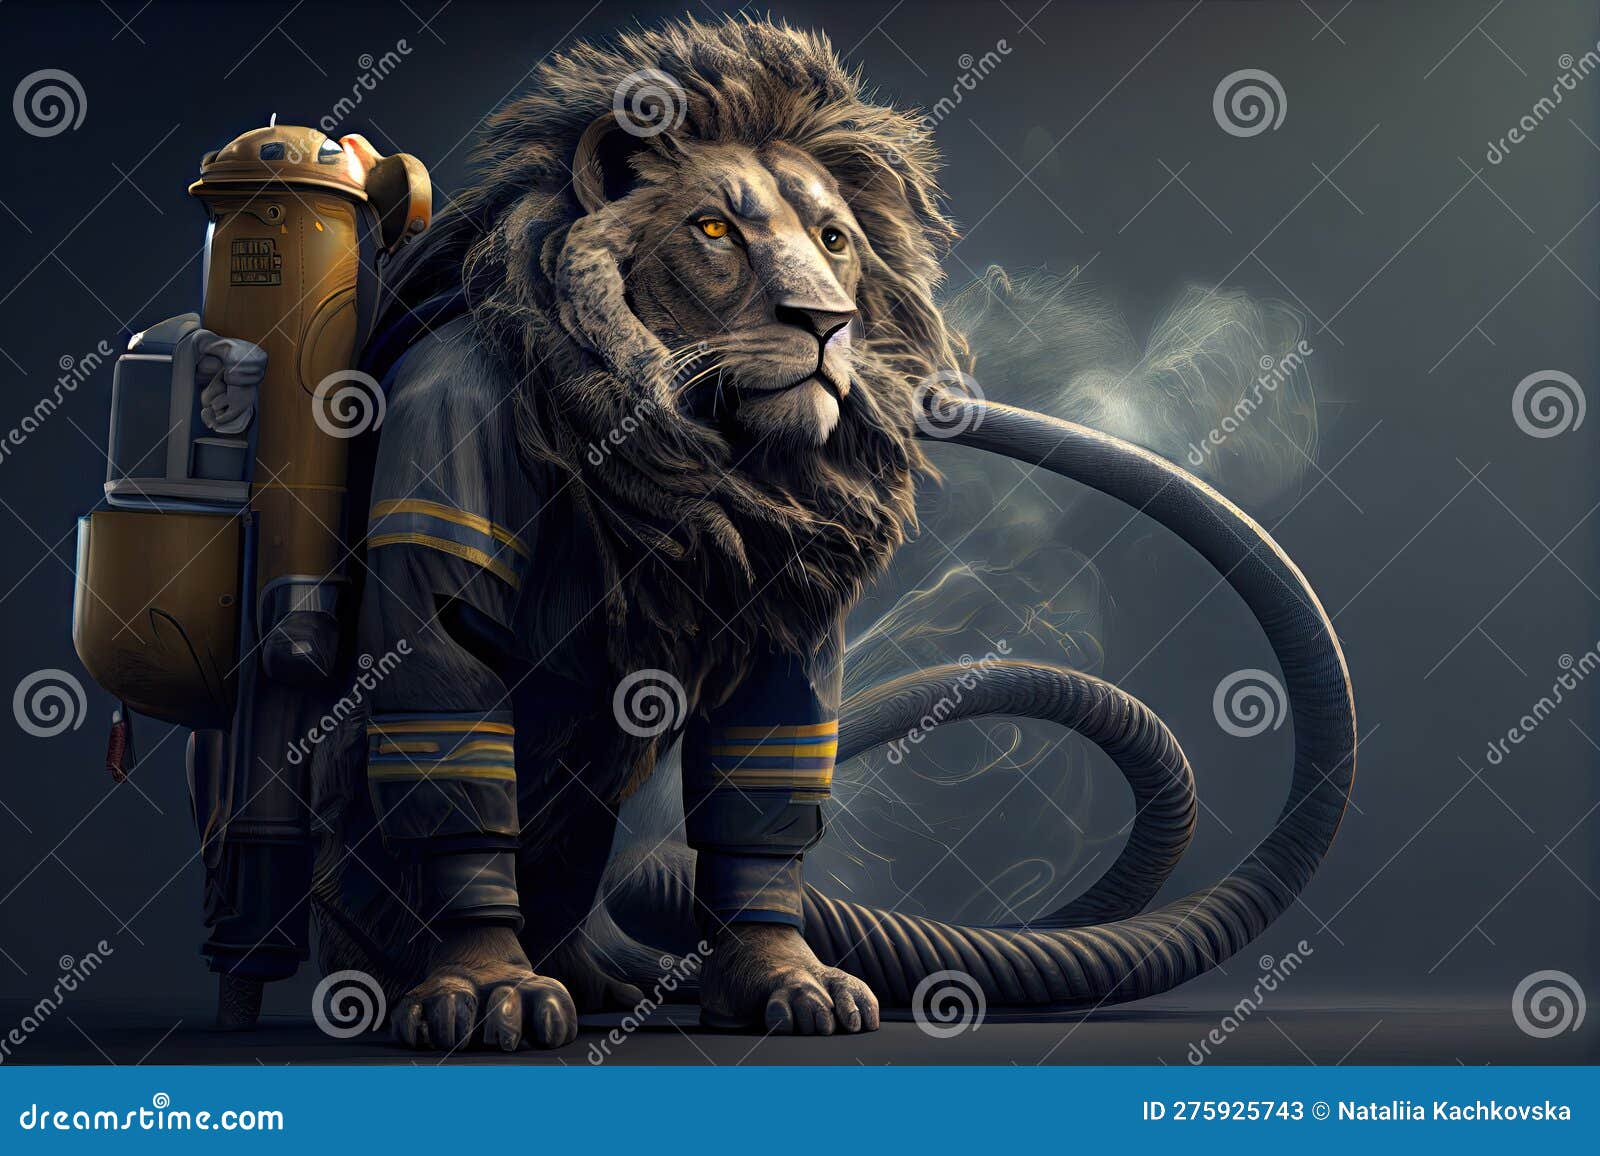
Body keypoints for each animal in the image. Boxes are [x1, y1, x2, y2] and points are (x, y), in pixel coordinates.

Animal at [284, 16, 1356, 1051]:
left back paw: (598, 974)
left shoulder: (783, 601)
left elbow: (762, 783)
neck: (679, 457)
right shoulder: (447, 435)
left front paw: (784, 981)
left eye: (835, 237)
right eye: (715, 229)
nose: (830, 324)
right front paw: (486, 987)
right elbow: (449, 698)